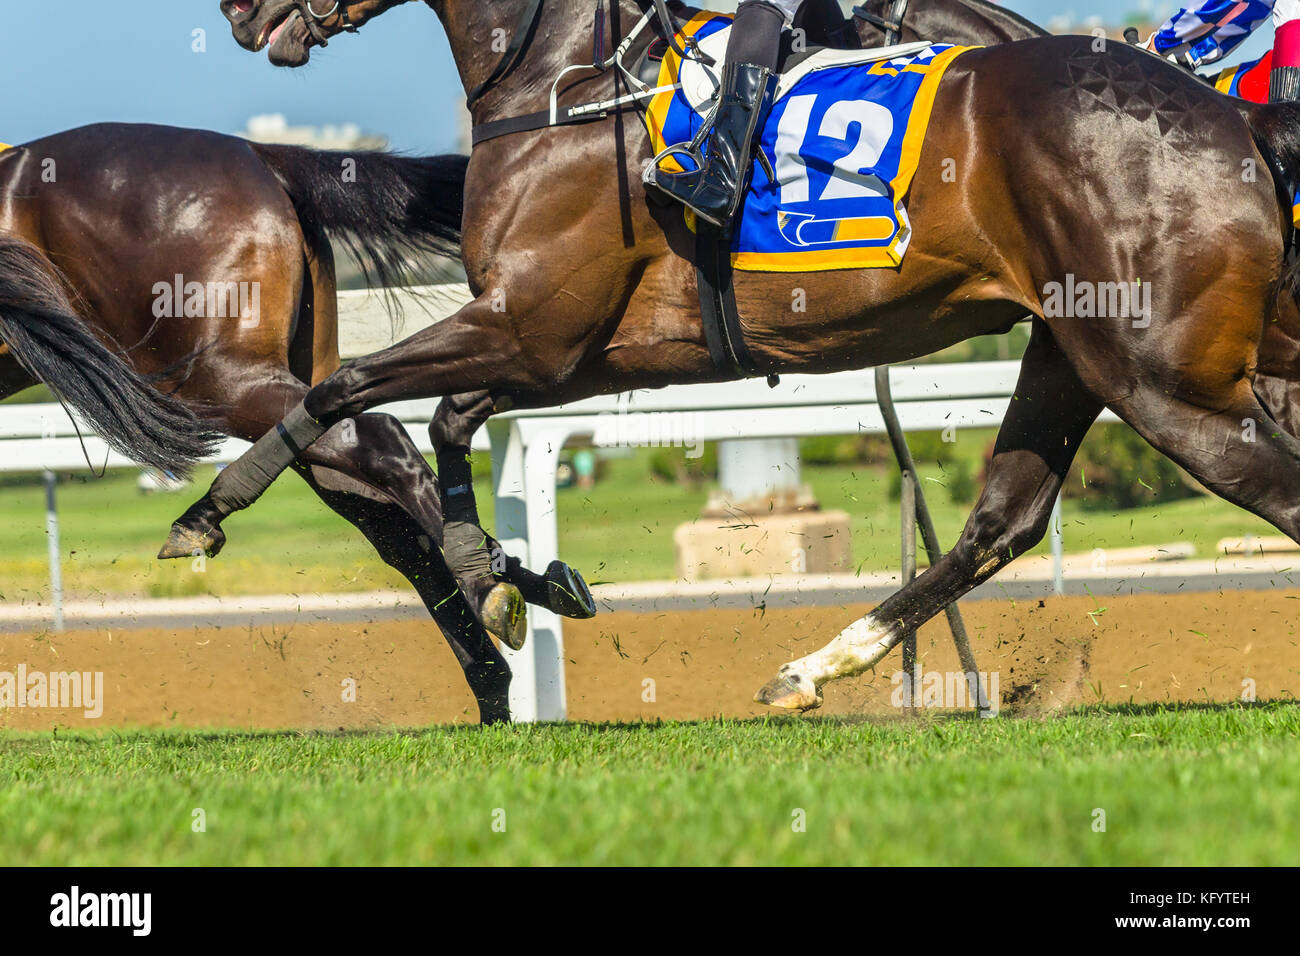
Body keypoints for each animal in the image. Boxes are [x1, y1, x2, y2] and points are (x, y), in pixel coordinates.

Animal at [0, 122, 593, 724]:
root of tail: (258, 153)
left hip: (212, 371)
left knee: (378, 437)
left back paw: (497, 588)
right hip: (299, 377)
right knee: (389, 519)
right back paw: (506, 644)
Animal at [193, 0, 1300, 713]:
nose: (240, 13)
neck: (574, 93)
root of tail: (1235, 115)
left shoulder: (527, 327)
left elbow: (340, 387)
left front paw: (209, 509)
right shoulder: (587, 349)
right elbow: (448, 417)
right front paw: (505, 576)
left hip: (1159, 377)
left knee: (1262, 487)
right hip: (1087, 351)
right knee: (1003, 520)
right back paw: (814, 667)